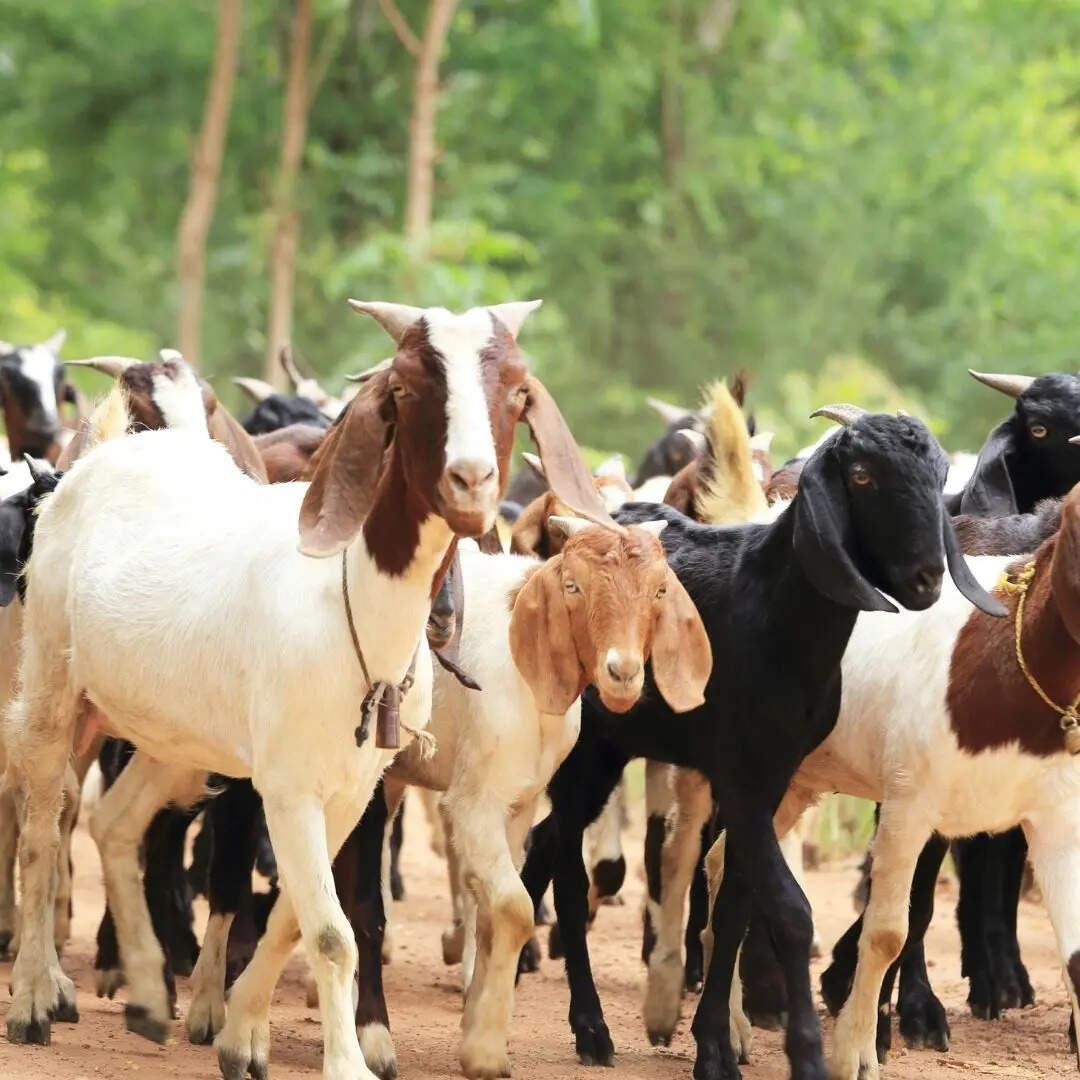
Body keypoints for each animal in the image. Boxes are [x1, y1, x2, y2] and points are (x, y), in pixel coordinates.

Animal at [1, 300, 603, 1080]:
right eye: (405, 385)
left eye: (518, 390)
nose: (472, 482)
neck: (350, 602)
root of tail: (103, 456)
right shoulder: (287, 787)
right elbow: (331, 933)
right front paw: (343, 1061)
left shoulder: (350, 788)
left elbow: (295, 916)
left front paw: (240, 1034)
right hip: (51, 682)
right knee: (44, 831)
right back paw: (35, 997)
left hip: (176, 737)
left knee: (116, 825)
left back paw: (144, 993)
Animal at [516, 405, 1004, 1078]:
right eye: (861, 474)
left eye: (938, 475)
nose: (928, 578)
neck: (773, 614)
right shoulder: (740, 776)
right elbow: (790, 911)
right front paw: (805, 1051)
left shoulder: (774, 776)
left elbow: (737, 902)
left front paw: (715, 1045)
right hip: (587, 751)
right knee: (565, 860)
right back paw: (590, 1028)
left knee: (548, 842)